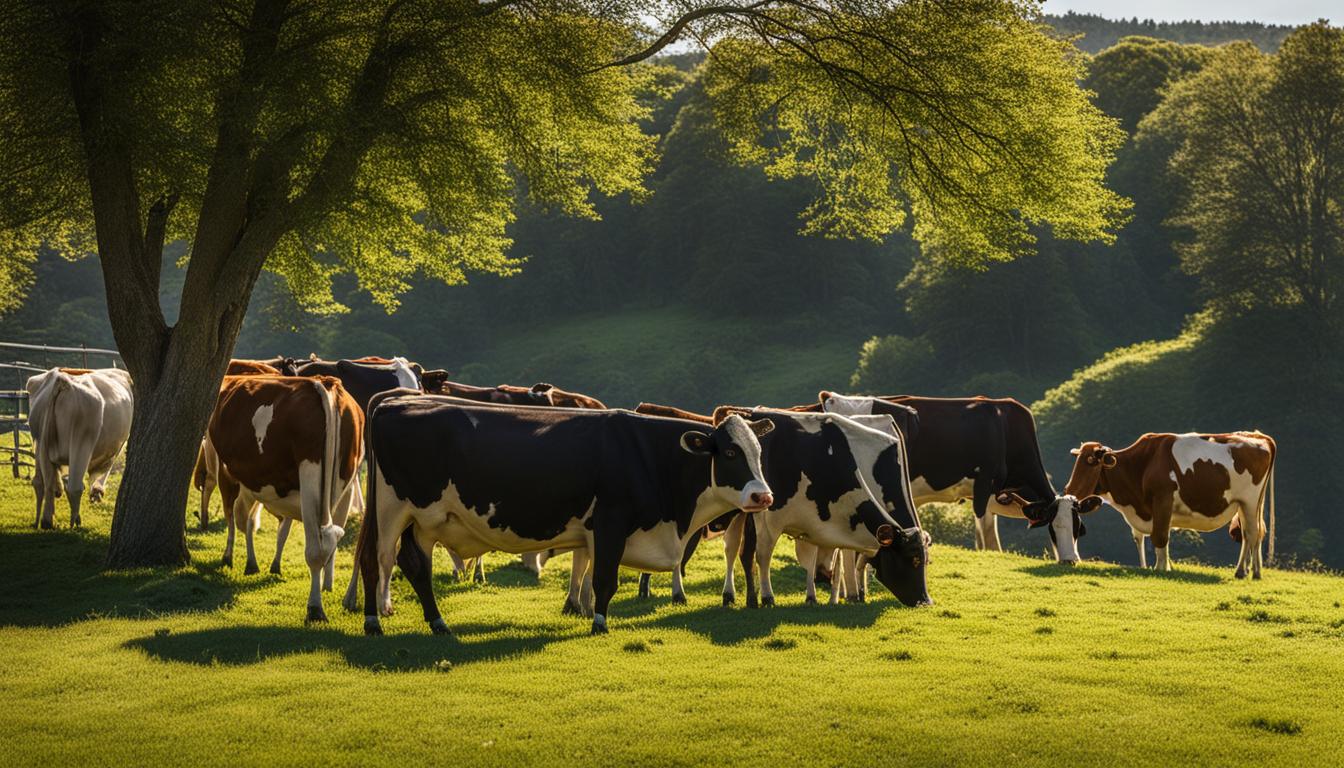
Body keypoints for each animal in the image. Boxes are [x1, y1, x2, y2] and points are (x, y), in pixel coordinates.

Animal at [24, 368, 134, 528]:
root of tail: (62, 380)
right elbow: (104, 471)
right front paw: (96, 492)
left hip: (40, 439)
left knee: (43, 482)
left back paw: (45, 521)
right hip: (82, 438)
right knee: (74, 486)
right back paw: (74, 522)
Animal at [207, 375, 363, 621]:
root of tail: (326, 383)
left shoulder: (345, 486)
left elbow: (329, 546)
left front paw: (325, 588)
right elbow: (317, 551)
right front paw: (315, 607)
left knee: (243, 516)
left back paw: (246, 561)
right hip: (231, 470)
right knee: (233, 513)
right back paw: (233, 557)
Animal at [355, 395, 775, 635]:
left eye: (758, 451)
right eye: (731, 453)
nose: (763, 495)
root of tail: (390, 405)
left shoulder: (592, 531)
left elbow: (585, 575)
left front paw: (584, 610)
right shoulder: (611, 521)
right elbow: (604, 580)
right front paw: (600, 625)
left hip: (424, 522)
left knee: (415, 564)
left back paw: (438, 623)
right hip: (390, 510)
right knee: (376, 559)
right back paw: (373, 622)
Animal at [1063, 433, 1277, 578]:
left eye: (1090, 460)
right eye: (1078, 460)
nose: (1069, 489)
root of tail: (1258, 437)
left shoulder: (1162, 499)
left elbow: (1160, 537)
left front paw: (1159, 569)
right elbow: (1155, 538)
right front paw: (1165, 567)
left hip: (1249, 501)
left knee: (1252, 533)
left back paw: (1253, 573)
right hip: (1245, 504)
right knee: (1251, 534)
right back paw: (1245, 571)